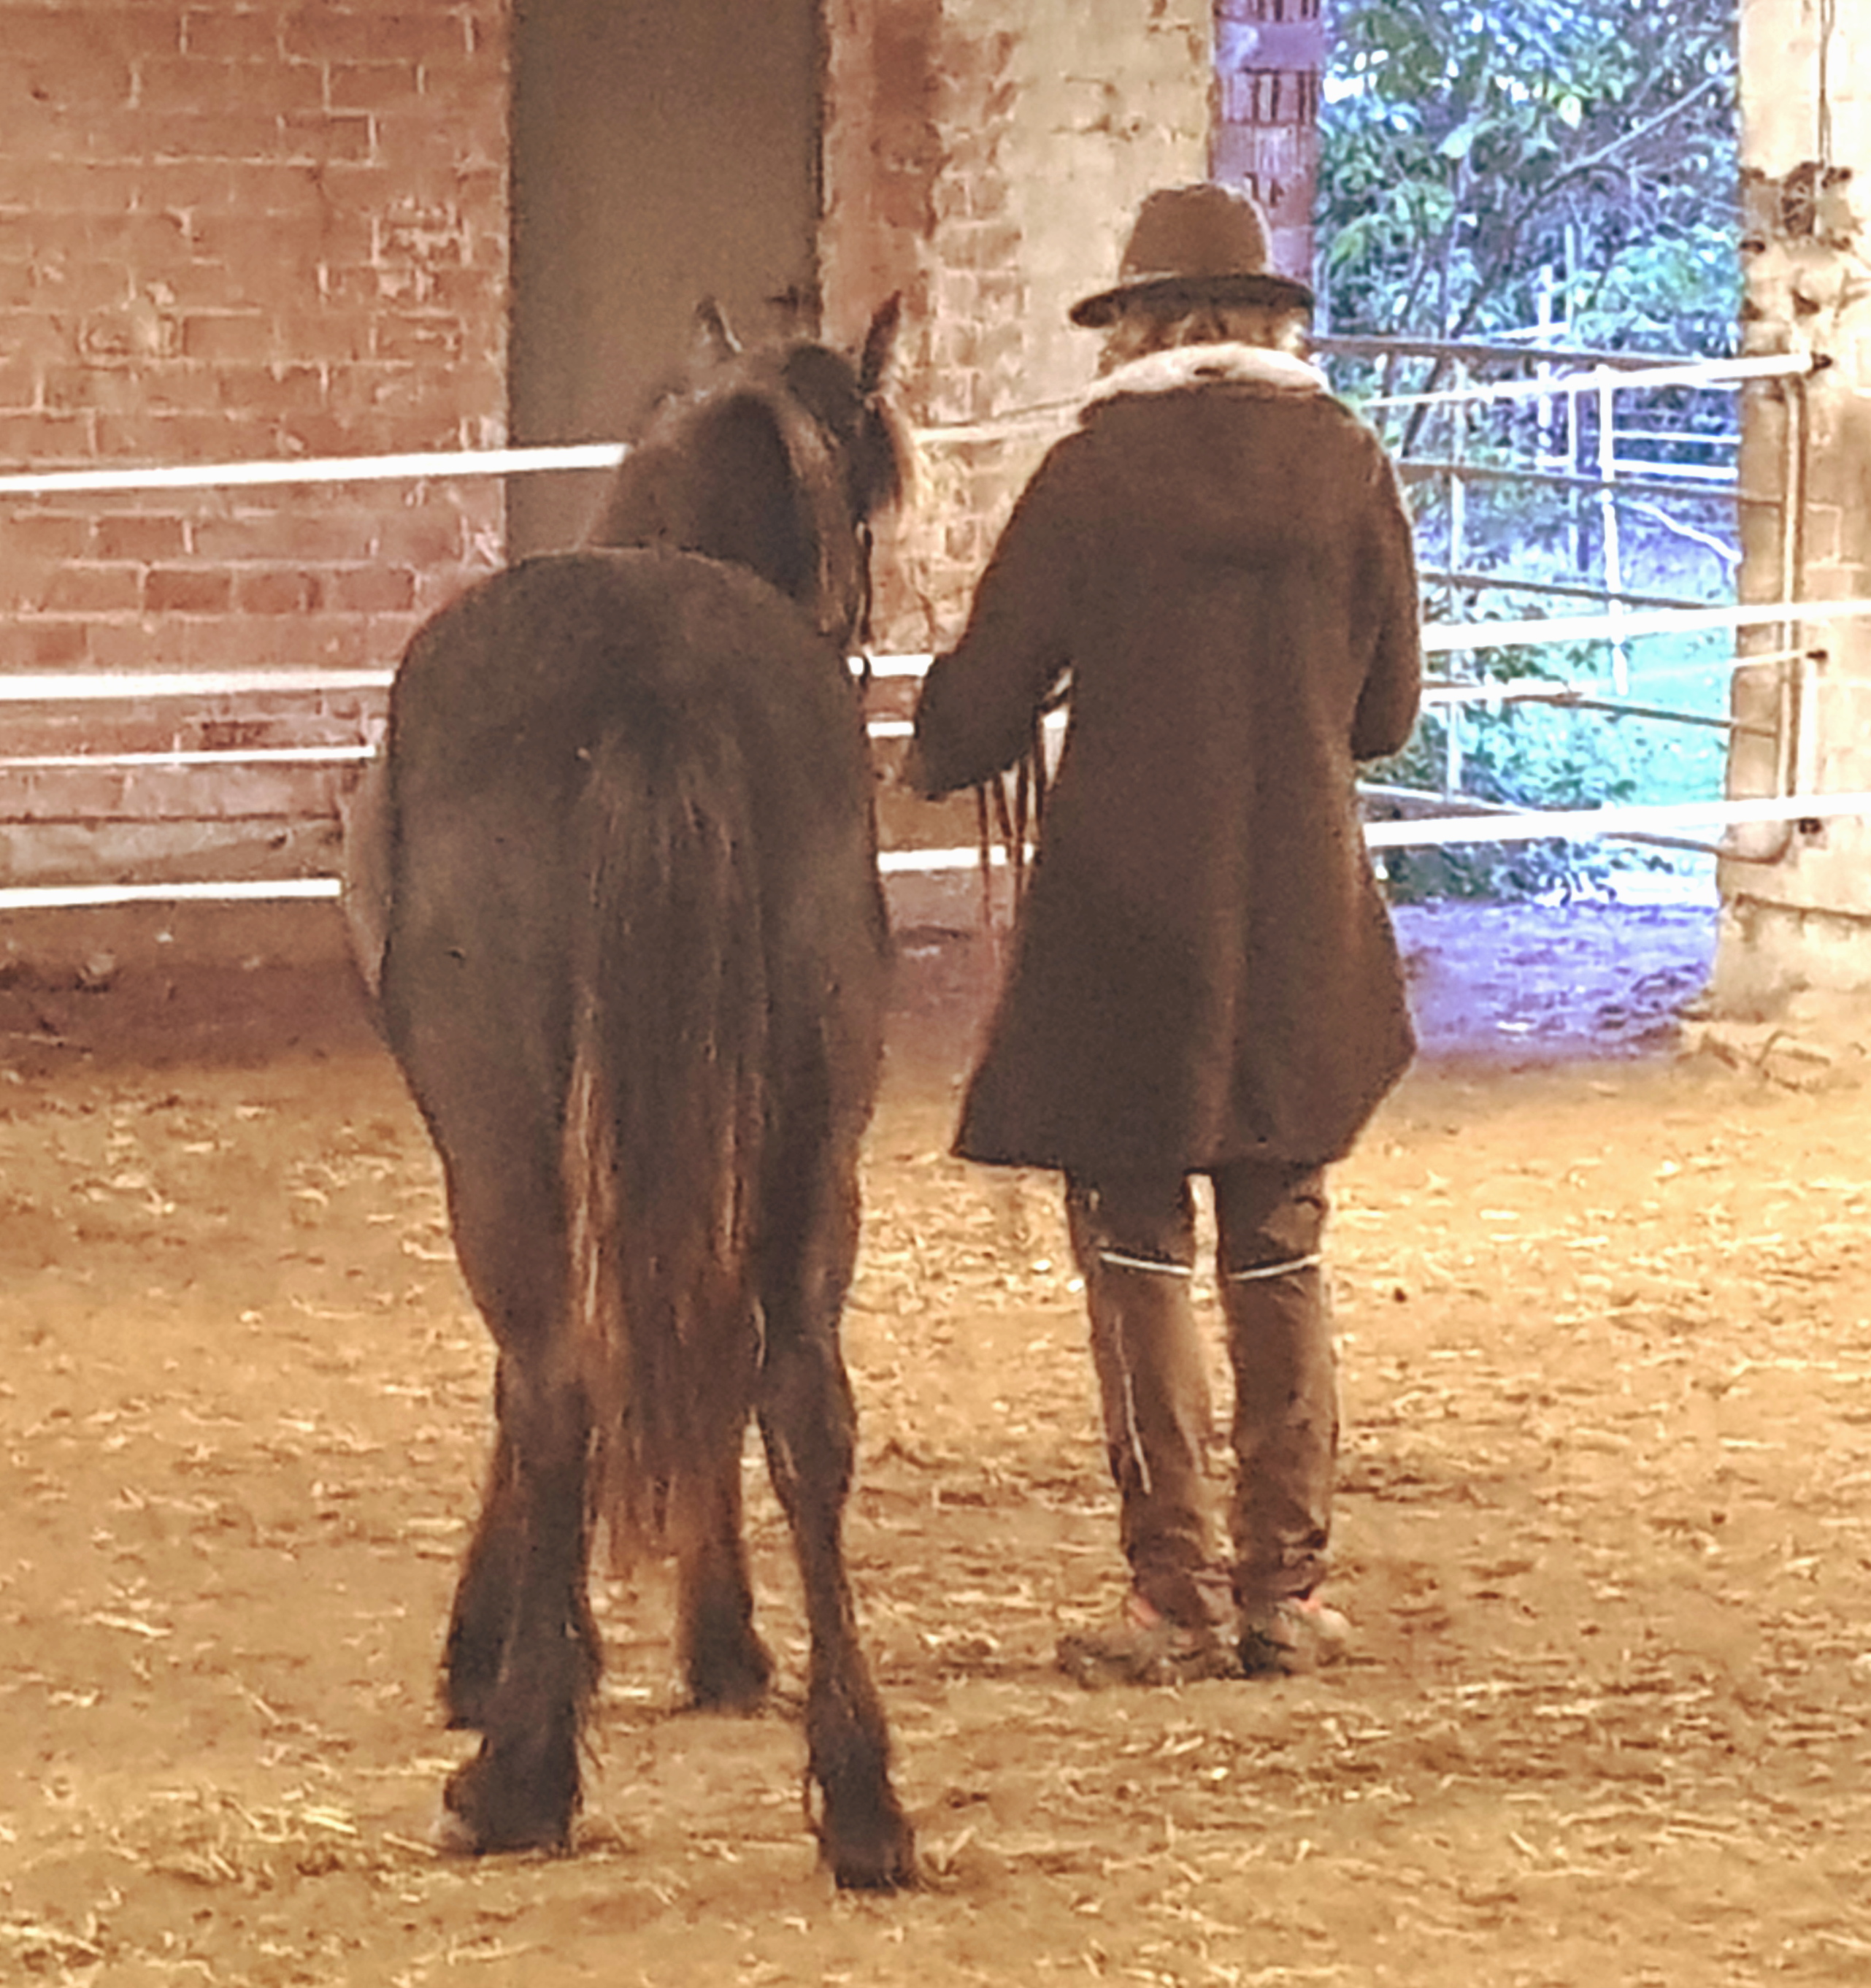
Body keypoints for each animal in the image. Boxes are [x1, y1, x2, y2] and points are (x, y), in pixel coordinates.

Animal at [342, 298, 917, 1890]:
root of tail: (654, 670)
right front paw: (718, 1638)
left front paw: (500, 1649)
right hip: (813, 1127)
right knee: (800, 1392)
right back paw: (862, 1798)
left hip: (503, 1142)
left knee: (557, 1379)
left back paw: (516, 1772)